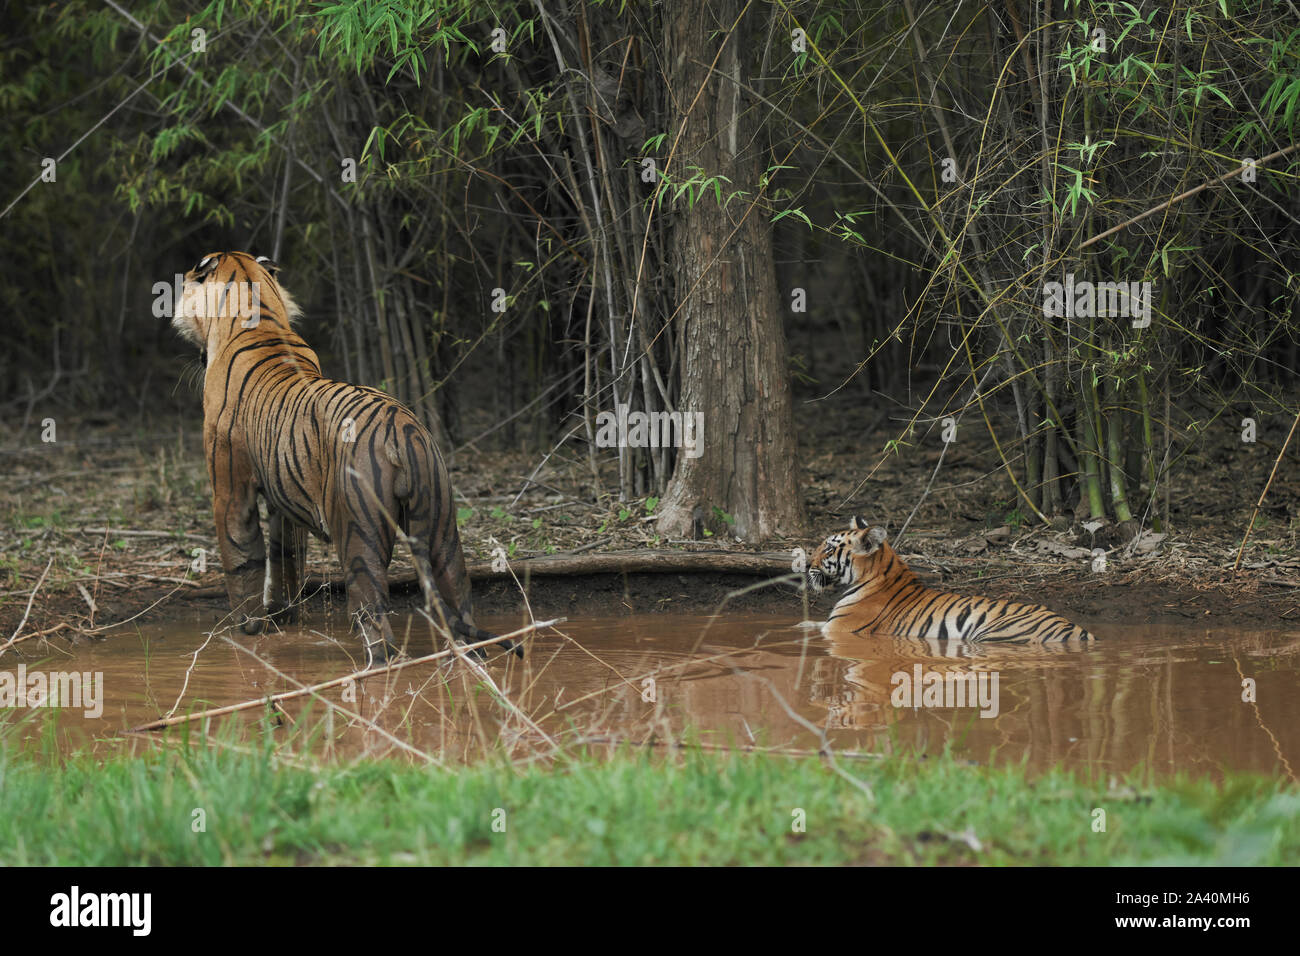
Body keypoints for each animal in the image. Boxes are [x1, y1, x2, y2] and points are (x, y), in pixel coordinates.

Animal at [170, 251, 519, 665]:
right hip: (441, 528)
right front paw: (282, 617)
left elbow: (242, 558)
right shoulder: (282, 495)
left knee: (374, 618)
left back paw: (376, 664)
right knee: (459, 601)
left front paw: (246, 631)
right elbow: (285, 557)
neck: (261, 314)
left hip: (357, 531)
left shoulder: (230, 487)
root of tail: (402, 428)